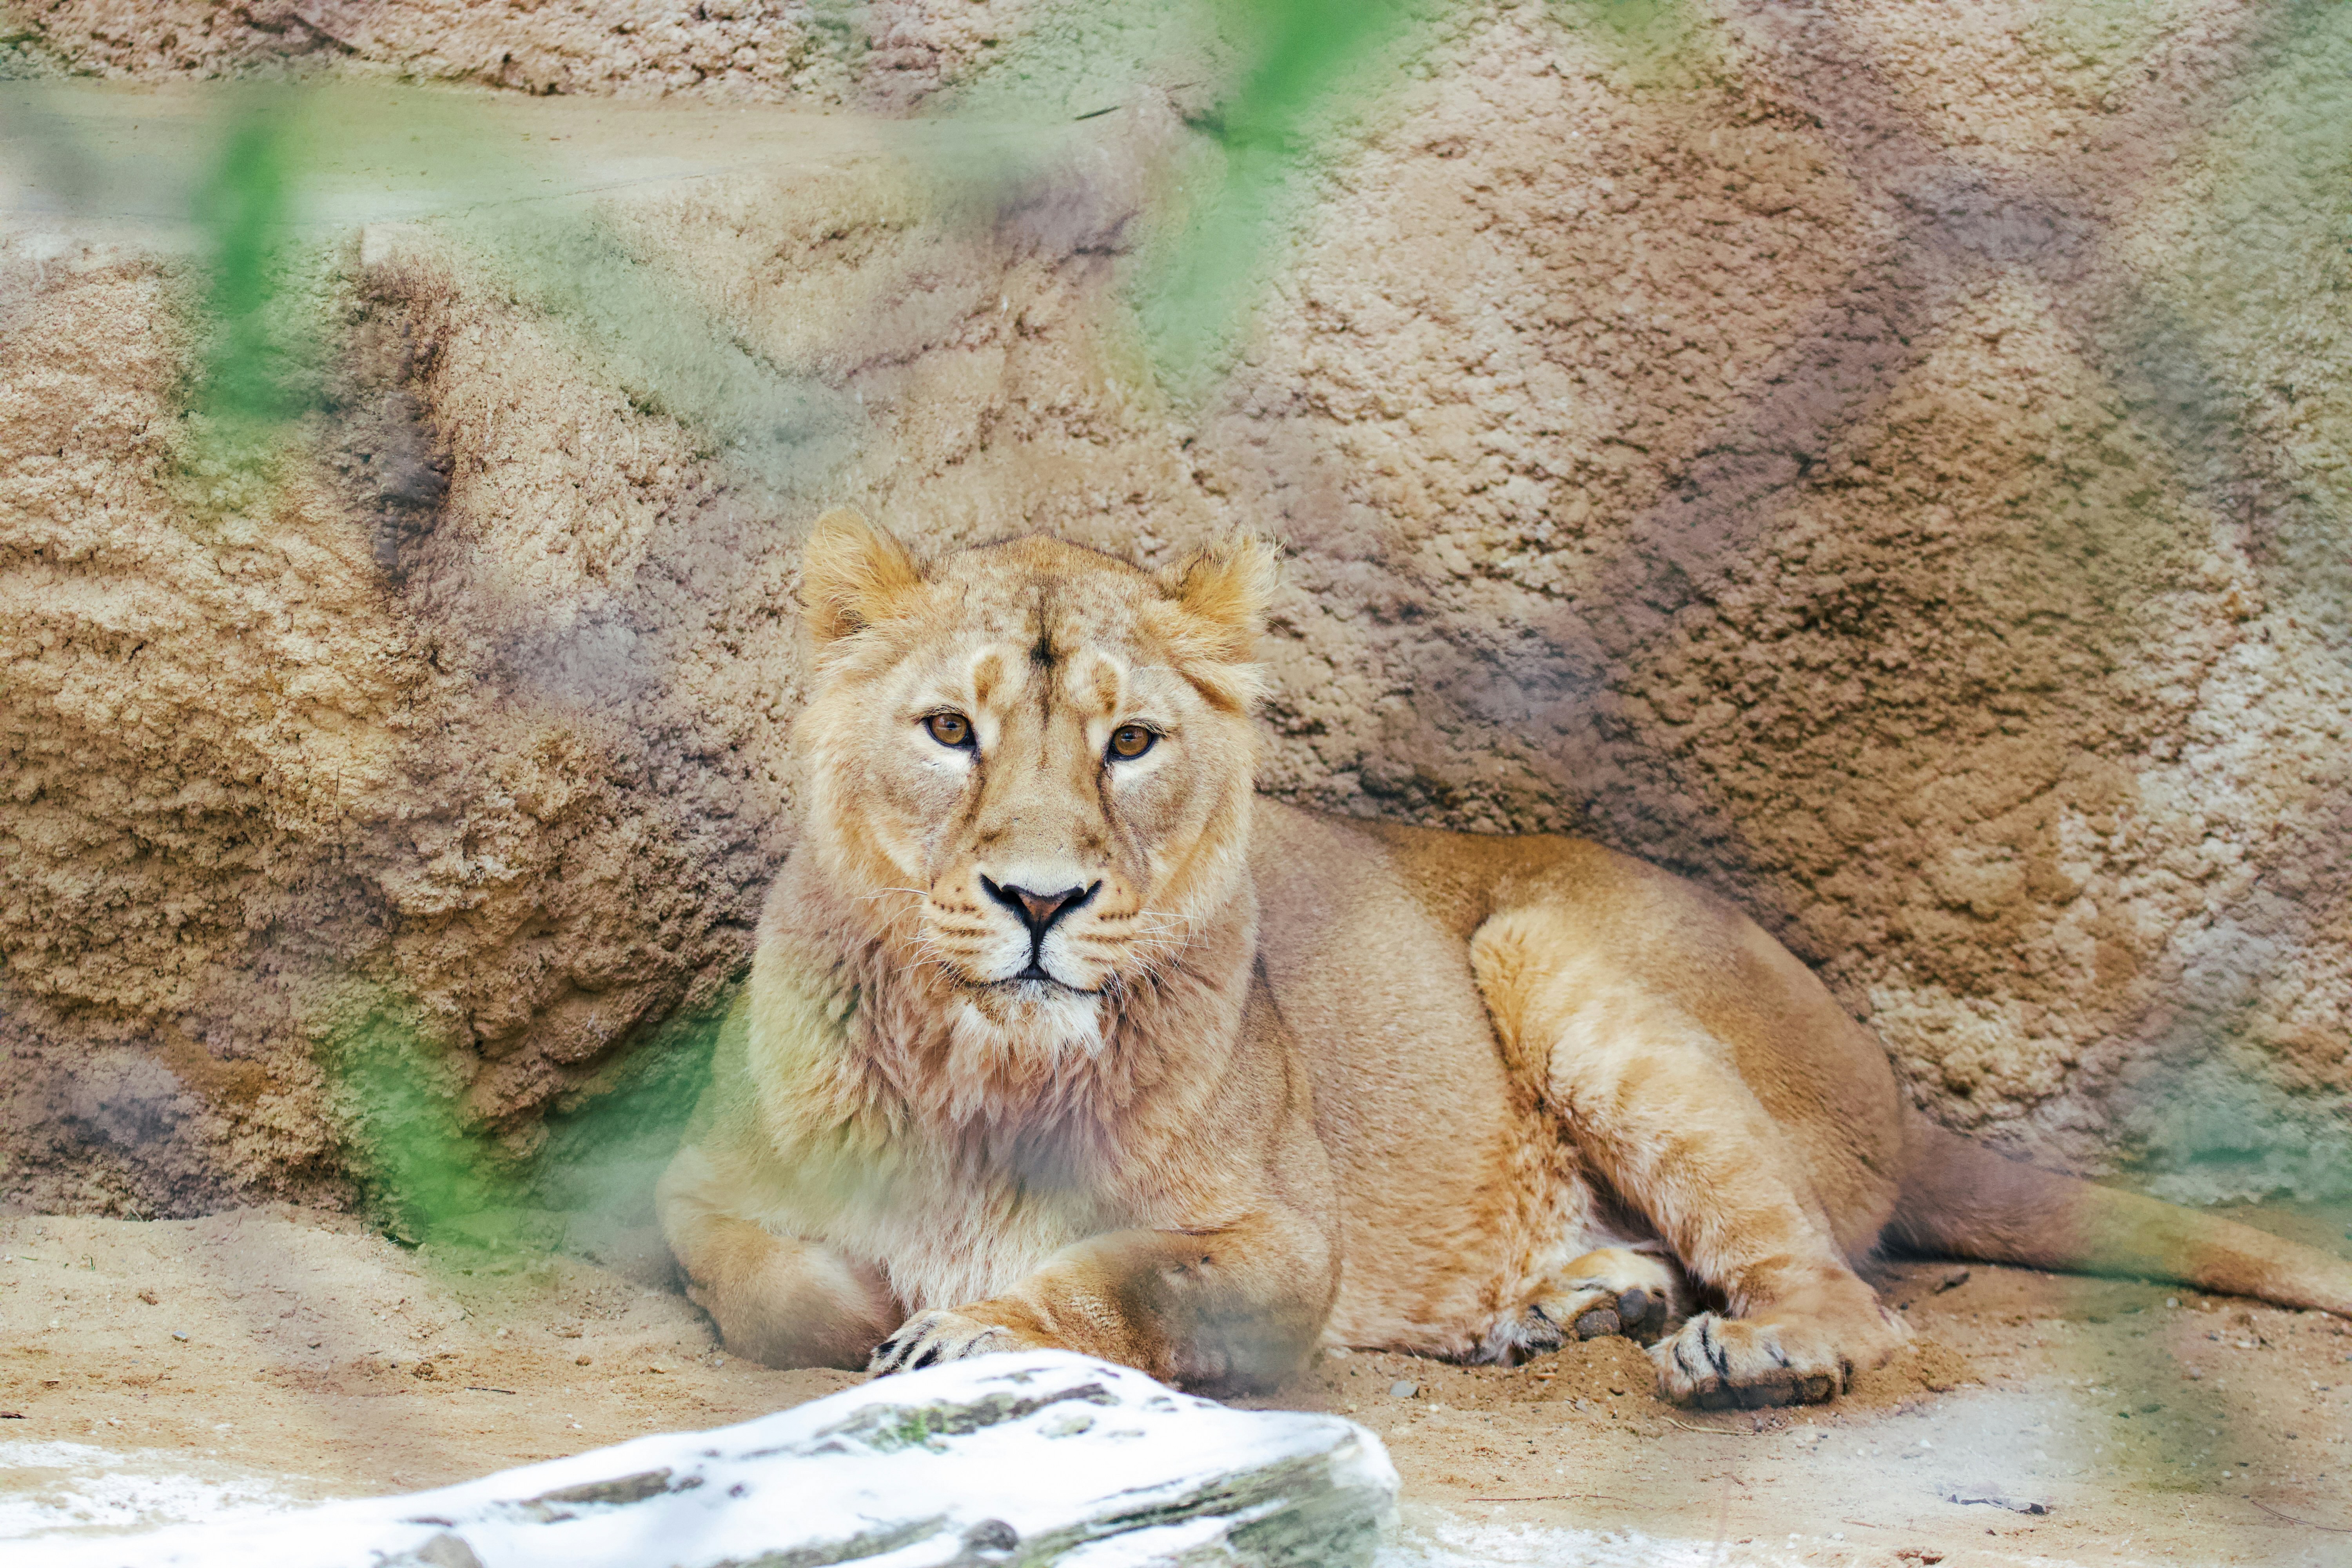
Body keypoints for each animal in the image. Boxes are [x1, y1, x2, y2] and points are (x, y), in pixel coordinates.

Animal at [656, 513, 2352, 1408]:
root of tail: (1889, 1077)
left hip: (1543, 942)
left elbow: (1111, 1281)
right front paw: (884, 1298)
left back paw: (1748, 1351)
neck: (987, 1073)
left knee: (1846, 1296)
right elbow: (775, 1282)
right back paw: (1563, 1306)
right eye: (950, 729)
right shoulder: (699, 1191)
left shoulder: (1283, 1247)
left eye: (1131, 743)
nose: (1039, 898)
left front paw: (971, 1323)